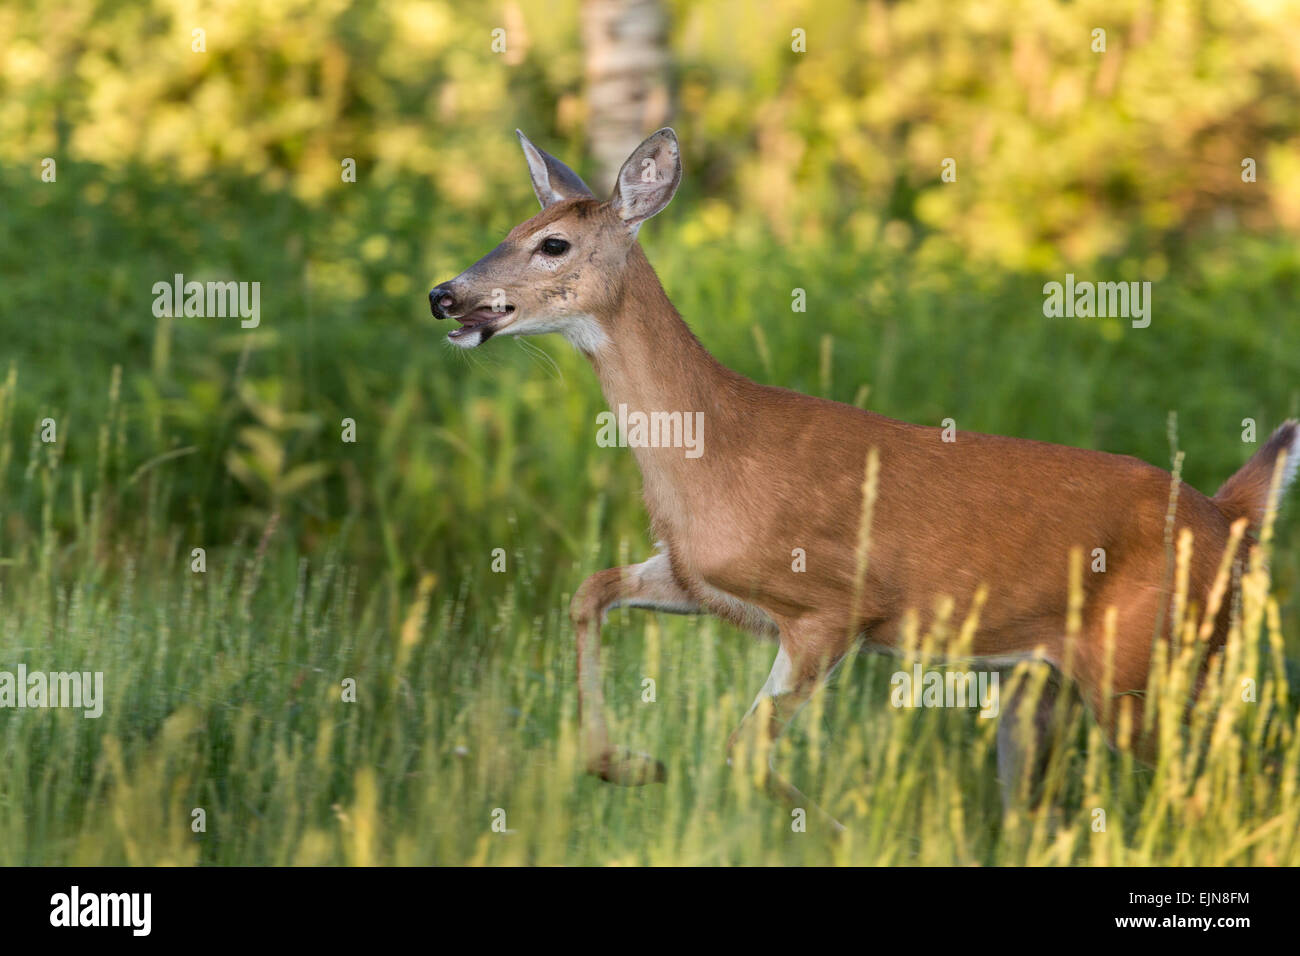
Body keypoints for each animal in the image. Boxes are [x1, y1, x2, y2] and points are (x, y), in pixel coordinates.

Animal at [429, 128, 1298, 827]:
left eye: (552, 245)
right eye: (511, 229)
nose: (446, 294)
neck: (713, 450)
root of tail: (1231, 517)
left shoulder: (834, 605)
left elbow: (744, 751)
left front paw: (842, 833)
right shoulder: (700, 578)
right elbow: (590, 590)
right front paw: (630, 765)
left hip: (1148, 660)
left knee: (1227, 780)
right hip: (1047, 678)